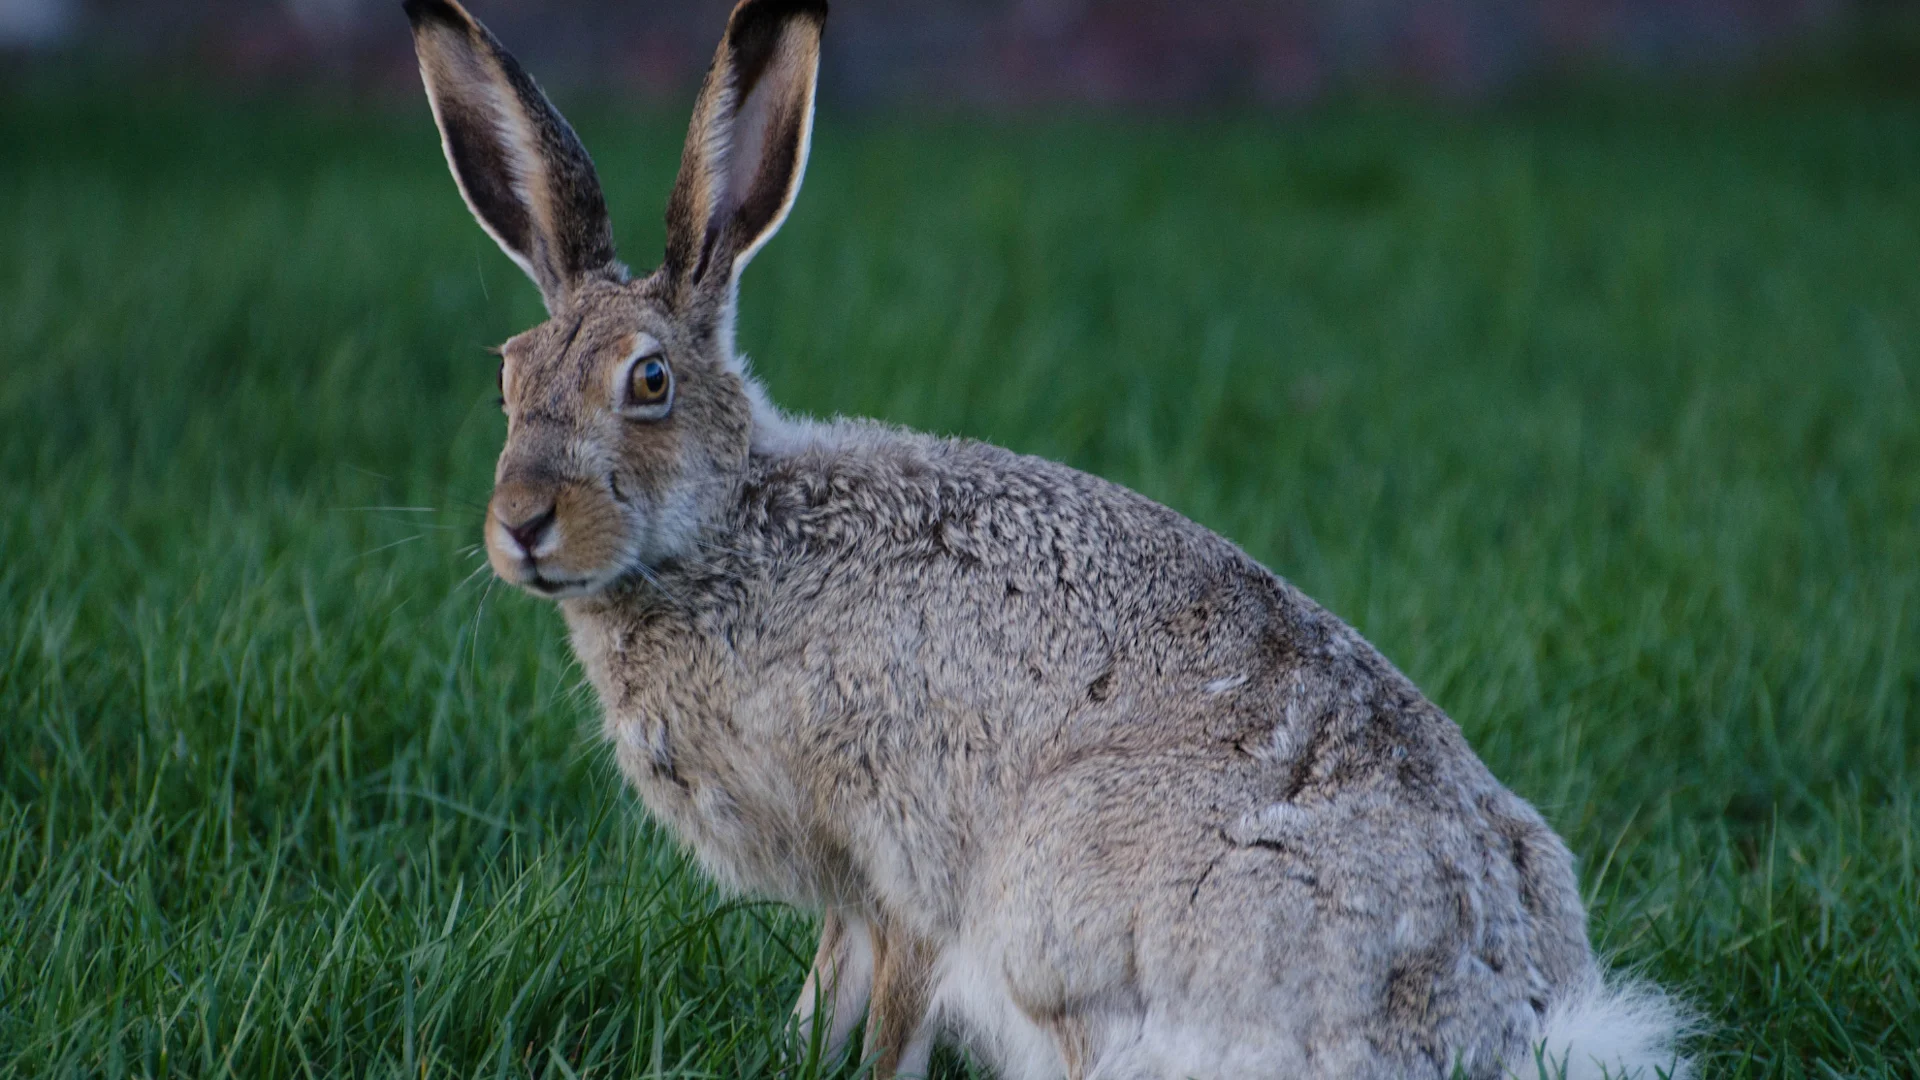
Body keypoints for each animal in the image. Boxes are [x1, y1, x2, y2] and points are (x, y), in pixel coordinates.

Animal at [403, 1, 1692, 1077]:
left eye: (650, 382)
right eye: (509, 376)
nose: (521, 526)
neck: (731, 533)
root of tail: (1493, 1022)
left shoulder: (902, 860)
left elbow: (889, 1012)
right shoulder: (848, 891)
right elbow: (825, 991)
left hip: (1058, 917)